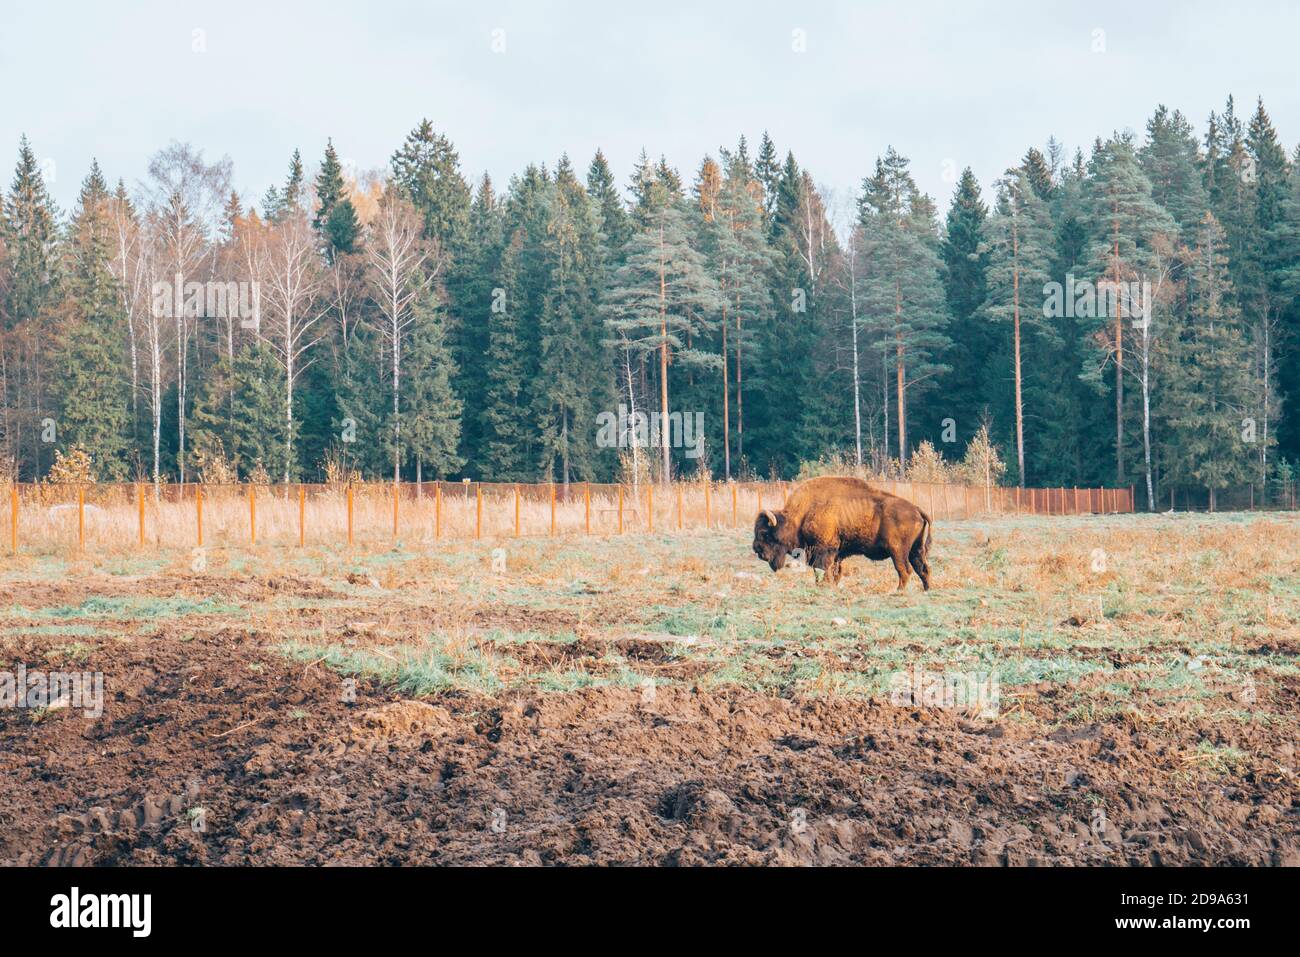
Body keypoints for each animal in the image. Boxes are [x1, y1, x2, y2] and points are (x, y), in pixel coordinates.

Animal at [752, 476, 933, 591]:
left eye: (765, 533)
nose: (757, 550)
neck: (800, 515)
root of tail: (917, 509)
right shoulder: (836, 552)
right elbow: (834, 571)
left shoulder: (824, 549)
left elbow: (822, 568)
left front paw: (824, 586)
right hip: (915, 550)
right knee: (923, 569)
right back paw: (926, 590)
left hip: (898, 551)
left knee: (904, 570)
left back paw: (899, 591)